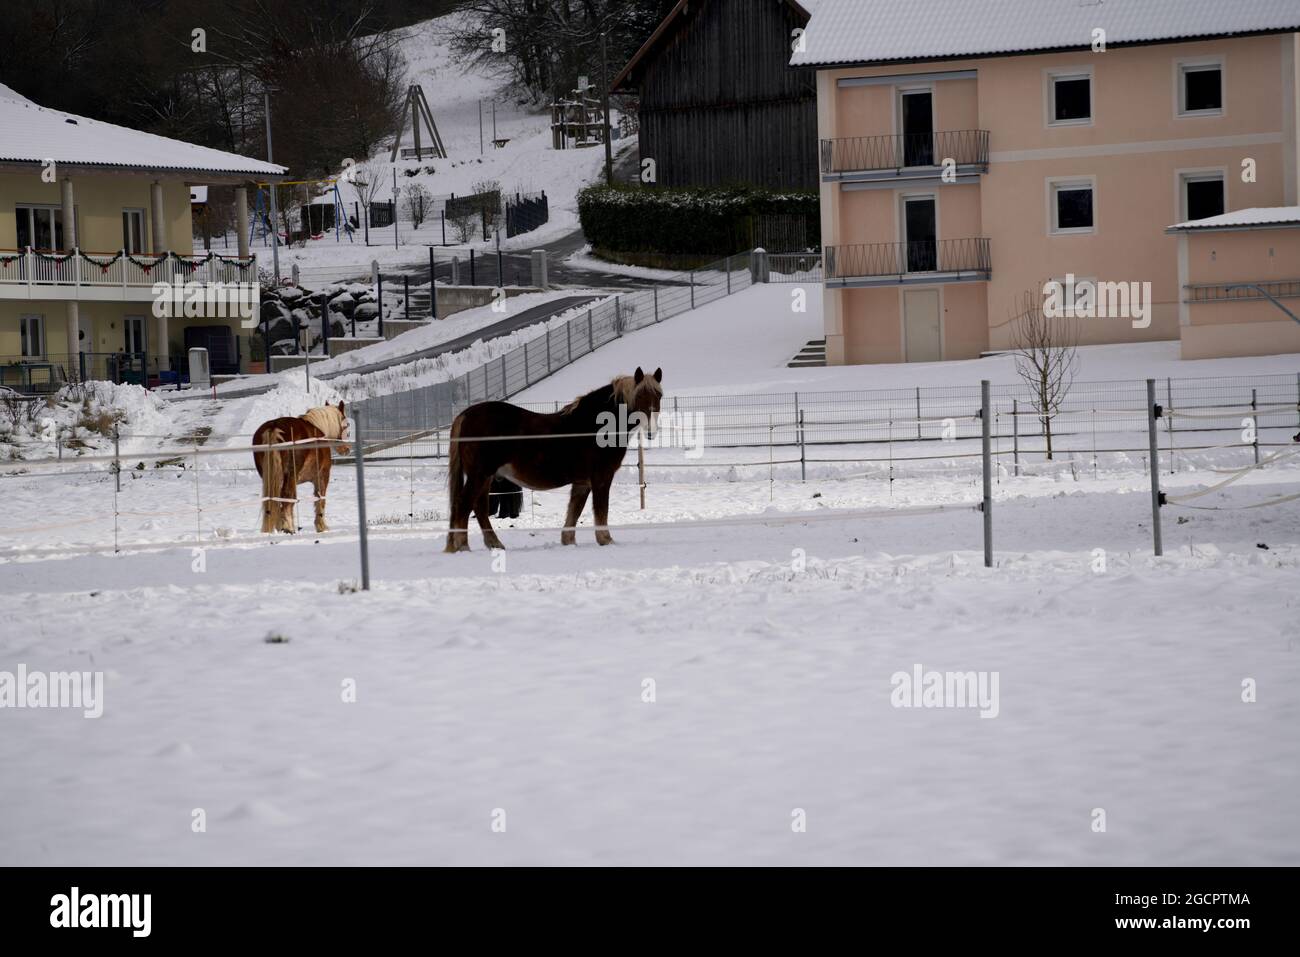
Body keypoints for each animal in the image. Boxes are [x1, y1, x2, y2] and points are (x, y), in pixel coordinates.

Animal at [253, 402, 350, 534]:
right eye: (347, 425)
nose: (347, 449)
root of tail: (274, 427)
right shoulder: (322, 476)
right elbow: (320, 499)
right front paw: (321, 526)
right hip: (290, 476)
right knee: (286, 496)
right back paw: (288, 528)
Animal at [445, 367, 663, 552]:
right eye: (640, 396)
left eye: (658, 395)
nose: (651, 431)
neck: (595, 426)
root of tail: (465, 415)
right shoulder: (602, 476)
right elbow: (601, 509)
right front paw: (605, 539)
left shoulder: (582, 482)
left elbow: (575, 509)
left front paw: (569, 541)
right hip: (480, 475)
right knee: (464, 504)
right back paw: (463, 545)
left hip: (486, 476)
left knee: (479, 506)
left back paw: (494, 544)